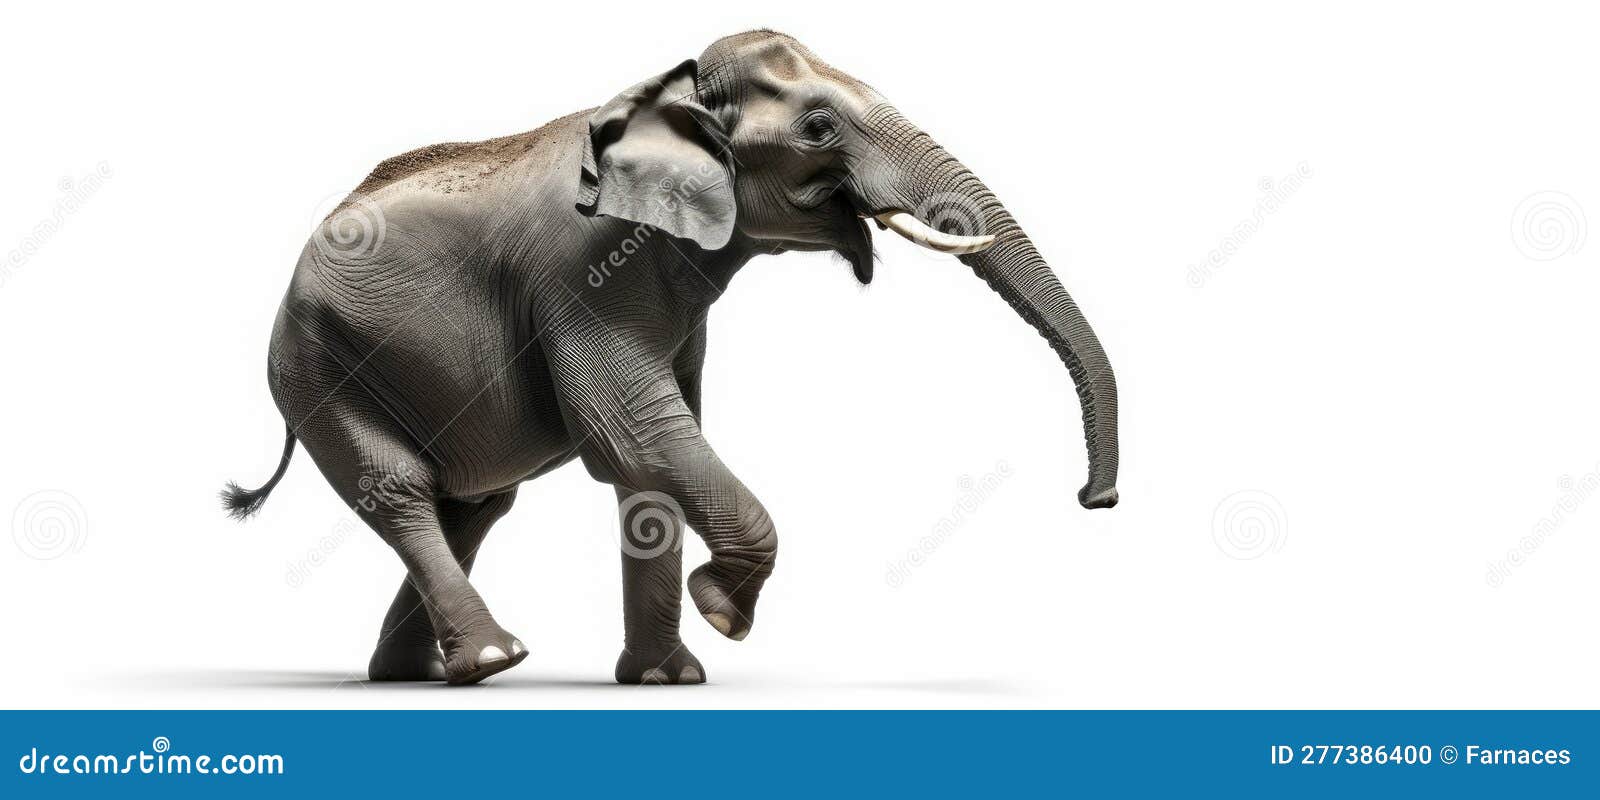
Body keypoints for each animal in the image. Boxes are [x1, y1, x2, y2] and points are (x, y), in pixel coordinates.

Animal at [221, 29, 1120, 686]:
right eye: (819, 128)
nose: (1095, 499)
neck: (666, 91)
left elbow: (653, 454)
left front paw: (669, 680)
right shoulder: (584, 272)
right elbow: (636, 433)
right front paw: (724, 612)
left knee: (474, 507)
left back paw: (414, 674)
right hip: (316, 362)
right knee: (402, 490)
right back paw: (491, 662)